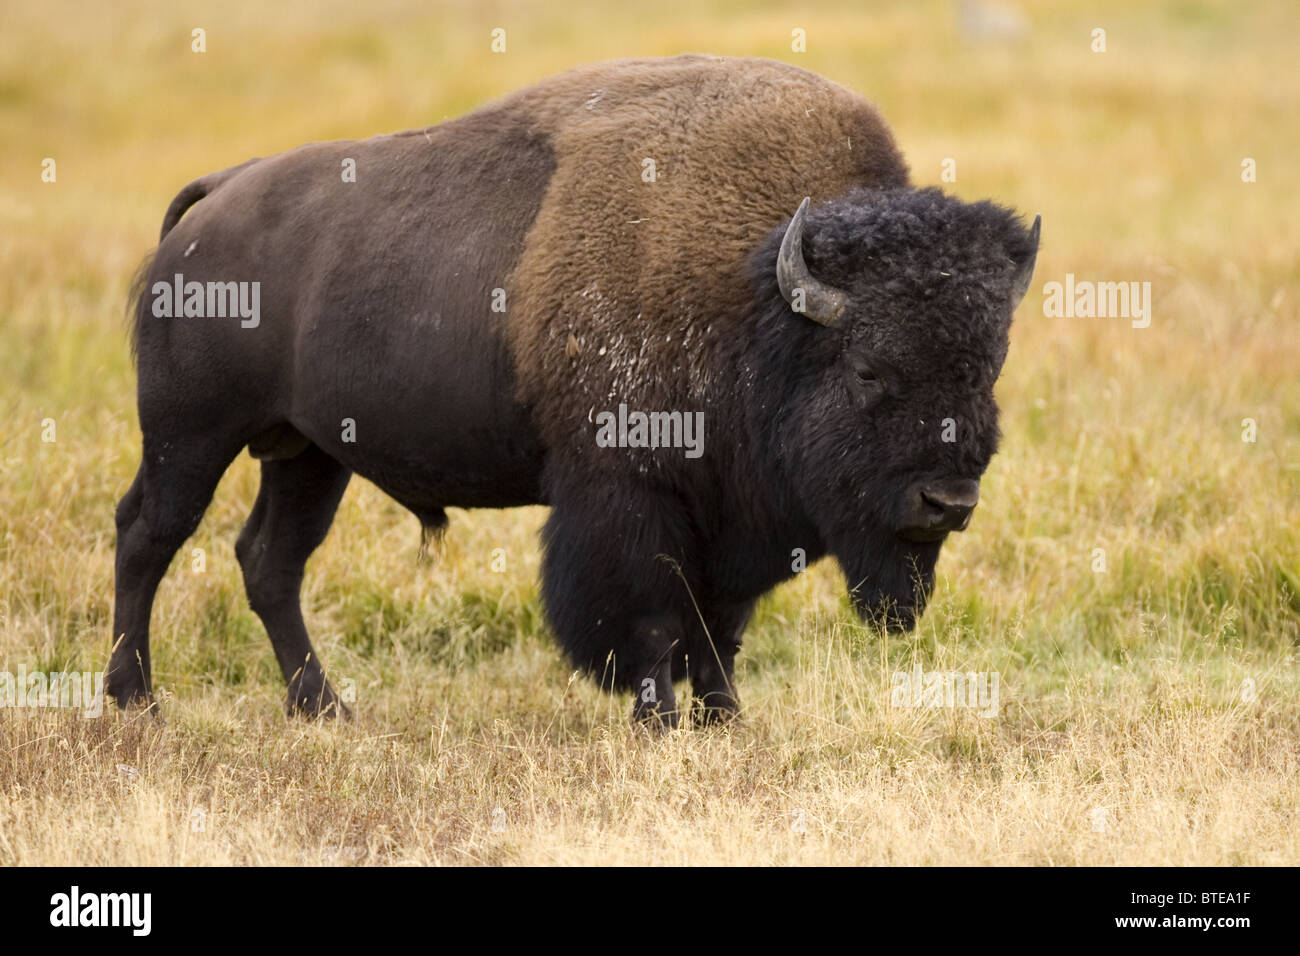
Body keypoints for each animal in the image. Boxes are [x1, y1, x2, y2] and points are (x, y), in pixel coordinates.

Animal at [109, 54, 1039, 725]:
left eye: (987, 368)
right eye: (870, 369)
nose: (948, 502)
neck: (758, 298)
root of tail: (217, 196)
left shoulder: (731, 514)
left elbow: (722, 627)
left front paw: (726, 719)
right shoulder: (626, 496)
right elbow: (654, 617)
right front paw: (659, 720)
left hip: (307, 455)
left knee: (270, 561)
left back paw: (323, 708)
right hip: (192, 436)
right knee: (148, 536)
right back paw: (134, 700)